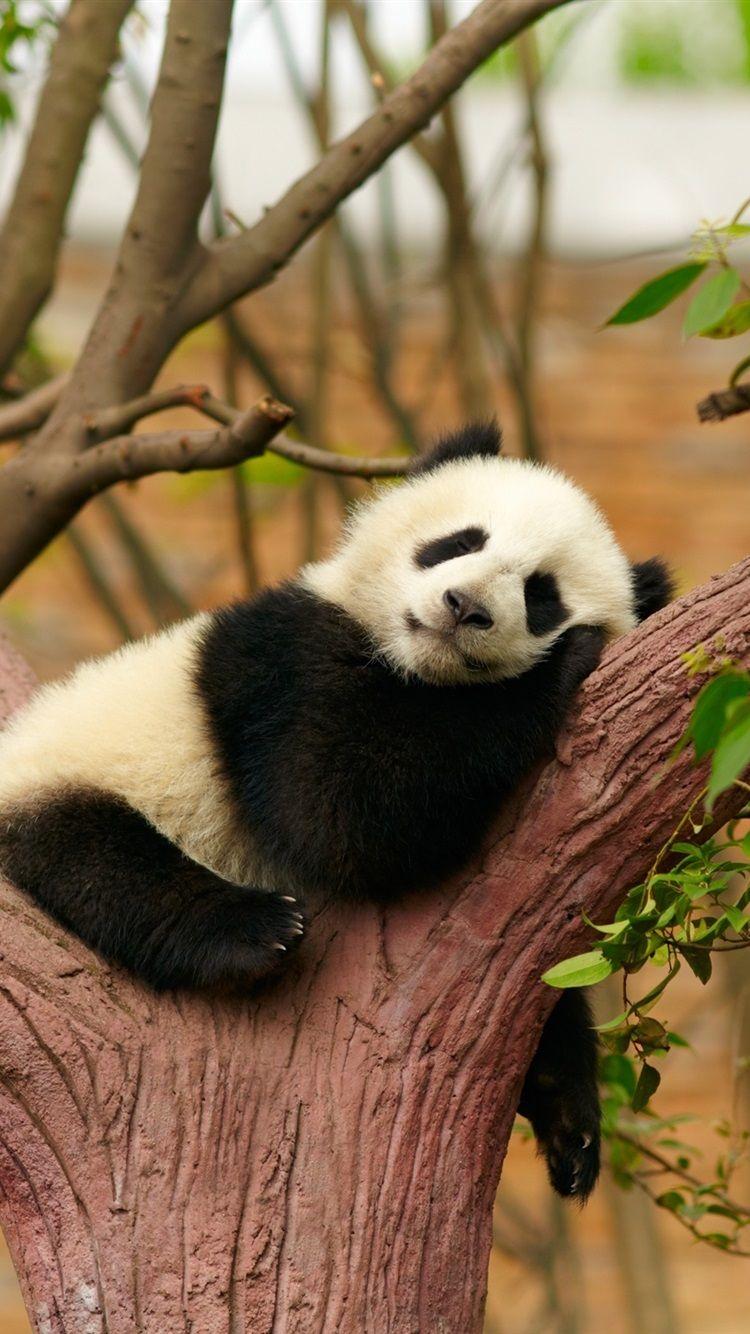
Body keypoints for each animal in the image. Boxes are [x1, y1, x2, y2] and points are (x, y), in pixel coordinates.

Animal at [0, 422, 671, 1200]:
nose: (464, 606)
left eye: (542, 595)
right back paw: (252, 929)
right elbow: (338, 812)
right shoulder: (284, 660)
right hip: (61, 776)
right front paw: (561, 666)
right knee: (96, 856)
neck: (414, 667)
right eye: (459, 542)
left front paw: (570, 1117)